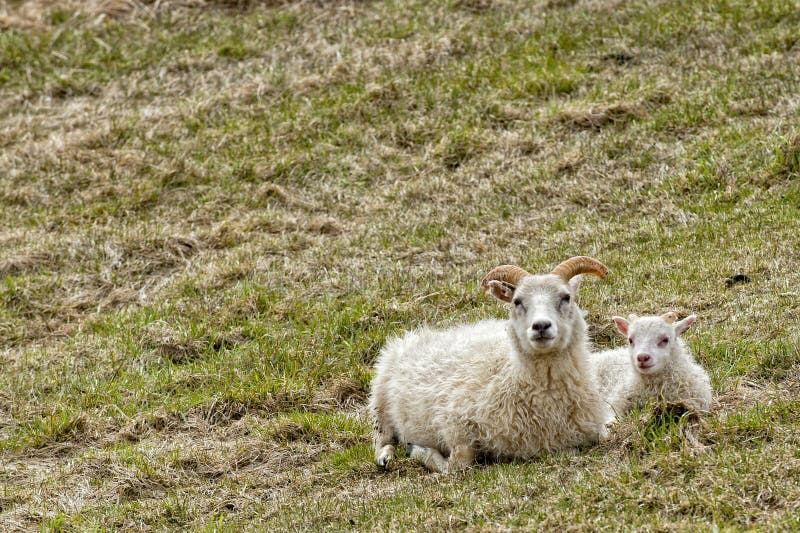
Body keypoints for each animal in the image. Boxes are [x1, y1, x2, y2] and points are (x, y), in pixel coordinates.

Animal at [368, 256, 613, 473]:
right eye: (517, 301)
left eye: (566, 297)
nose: (541, 326)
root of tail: (422, 333)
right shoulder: (453, 422)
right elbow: (457, 465)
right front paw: (418, 450)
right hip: (380, 397)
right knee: (381, 437)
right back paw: (386, 456)